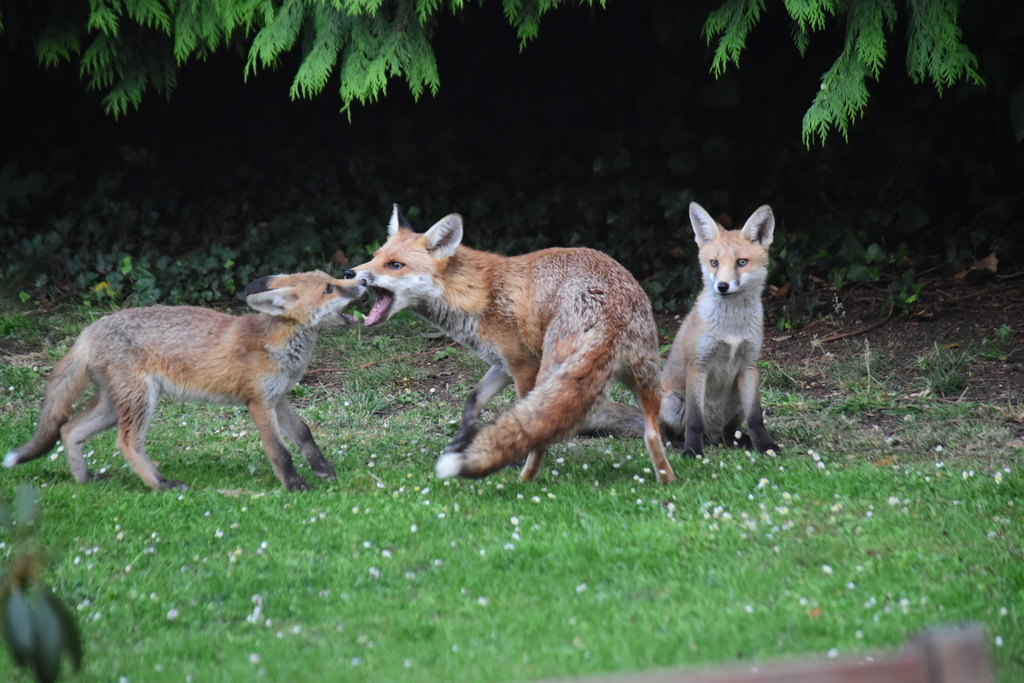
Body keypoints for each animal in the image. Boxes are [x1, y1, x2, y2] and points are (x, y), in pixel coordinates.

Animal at [4, 270, 365, 492]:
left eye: (332, 279)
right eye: (329, 289)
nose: (360, 280)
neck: (274, 343)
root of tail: (89, 330)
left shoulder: (279, 398)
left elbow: (304, 434)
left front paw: (323, 468)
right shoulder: (258, 403)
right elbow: (279, 451)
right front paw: (294, 485)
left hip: (112, 406)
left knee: (68, 430)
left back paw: (85, 479)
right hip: (140, 400)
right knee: (126, 442)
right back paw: (160, 484)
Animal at [353, 204, 676, 484]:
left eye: (395, 265)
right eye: (374, 256)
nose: (350, 274)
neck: (476, 295)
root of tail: (611, 312)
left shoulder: (523, 366)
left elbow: (516, 419)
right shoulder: (503, 363)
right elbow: (473, 399)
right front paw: (462, 441)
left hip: (552, 373)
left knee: (539, 431)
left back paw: (524, 480)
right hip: (645, 378)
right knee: (651, 434)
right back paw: (666, 481)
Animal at [660, 201, 780, 457]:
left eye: (741, 262)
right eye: (714, 263)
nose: (722, 287)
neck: (731, 328)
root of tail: (713, 435)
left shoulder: (749, 365)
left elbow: (756, 418)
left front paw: (766, 446)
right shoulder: (698, 365)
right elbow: (694, 421)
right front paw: (692, 452)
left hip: (738, 403)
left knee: (728, 433)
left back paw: (736, 440)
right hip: (672, 402)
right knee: (676, 432)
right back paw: (683, 443)